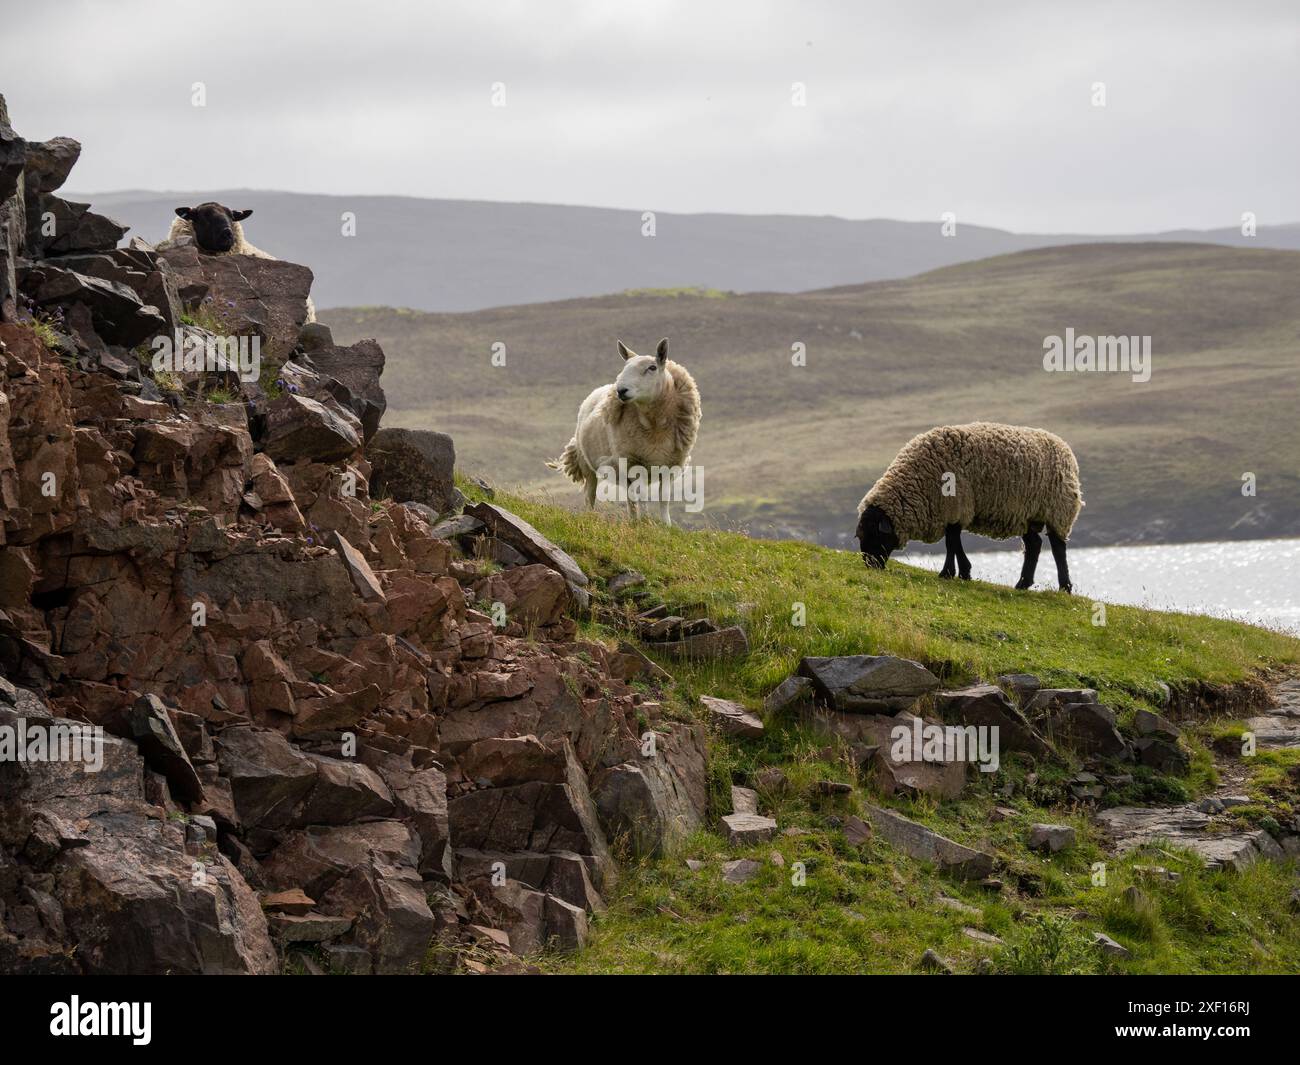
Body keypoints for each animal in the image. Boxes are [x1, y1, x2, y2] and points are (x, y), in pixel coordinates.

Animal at [548, 338, 701, 525]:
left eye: (652, 367)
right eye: (624, 367)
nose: (620, 390)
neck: (655, 427)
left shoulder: (671, 464)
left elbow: (664, 497)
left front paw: (666, 525)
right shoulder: (635, 461)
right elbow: (642, 495)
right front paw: (647, 522)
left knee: (630, 497)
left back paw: (633, 520)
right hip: (589, 464)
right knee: (590, 494)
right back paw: (592, 517)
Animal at [855, 421, 1083, 592]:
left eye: (875, 534)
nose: (871, 566)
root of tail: (1065, 448)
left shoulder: (956, 506)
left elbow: (952, 541)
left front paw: (953, 573)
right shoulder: (950, 510)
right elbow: (952, 541)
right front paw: (959, 572)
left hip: (1058, 510)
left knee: (1058, 547)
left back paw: (1064, 587)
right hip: (1026, 514)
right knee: (1034, 545)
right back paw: (1022, 584)